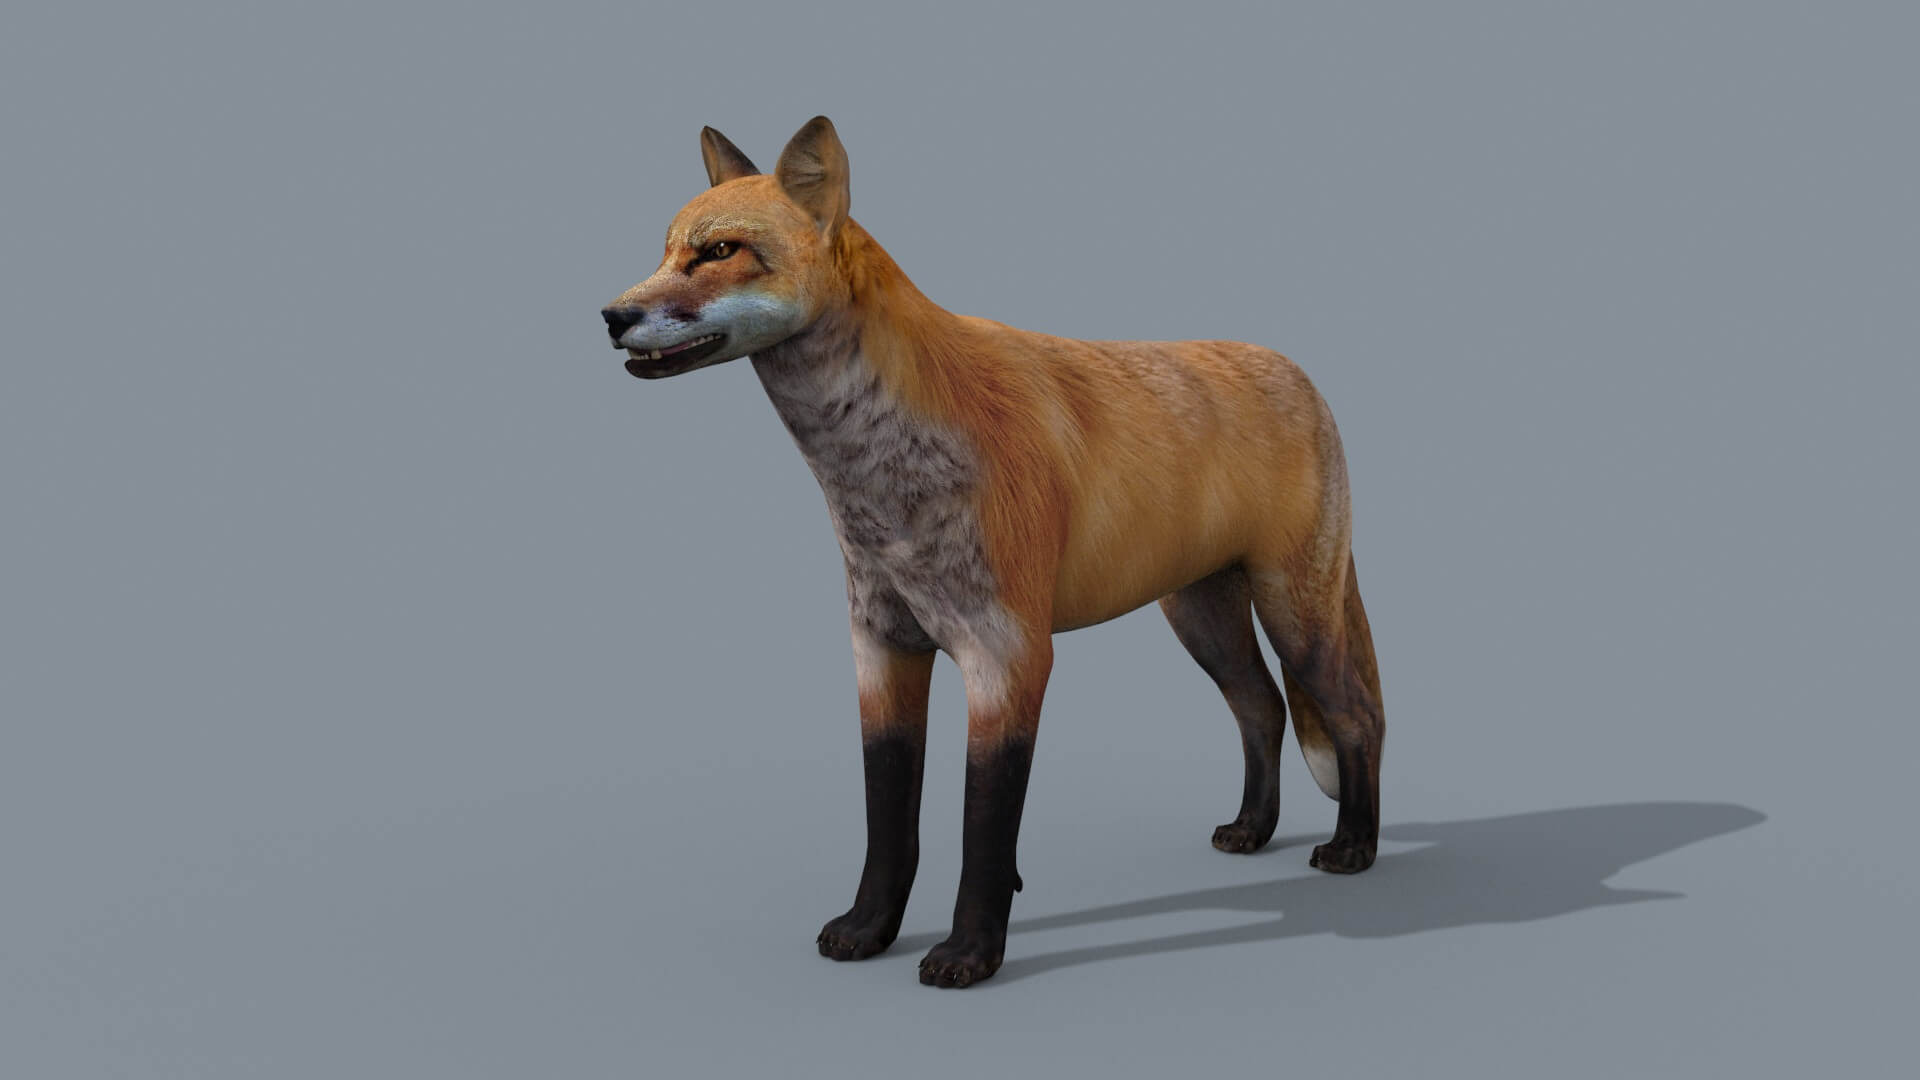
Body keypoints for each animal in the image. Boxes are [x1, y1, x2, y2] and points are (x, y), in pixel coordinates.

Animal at [601, 117, 1385, 988]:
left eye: (719, 252)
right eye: (667, 251)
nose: (610, 316)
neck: (879, 489)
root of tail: (1297, 372)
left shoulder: (1008, 655)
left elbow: (983, 828)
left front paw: (969, 953)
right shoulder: (882, 649)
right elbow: (888, 820)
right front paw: (868, 929)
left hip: (1294, 614)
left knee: (1353, 715)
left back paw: (1354, 847)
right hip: (1201, 618)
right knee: (1263, 708)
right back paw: (1253, 827)